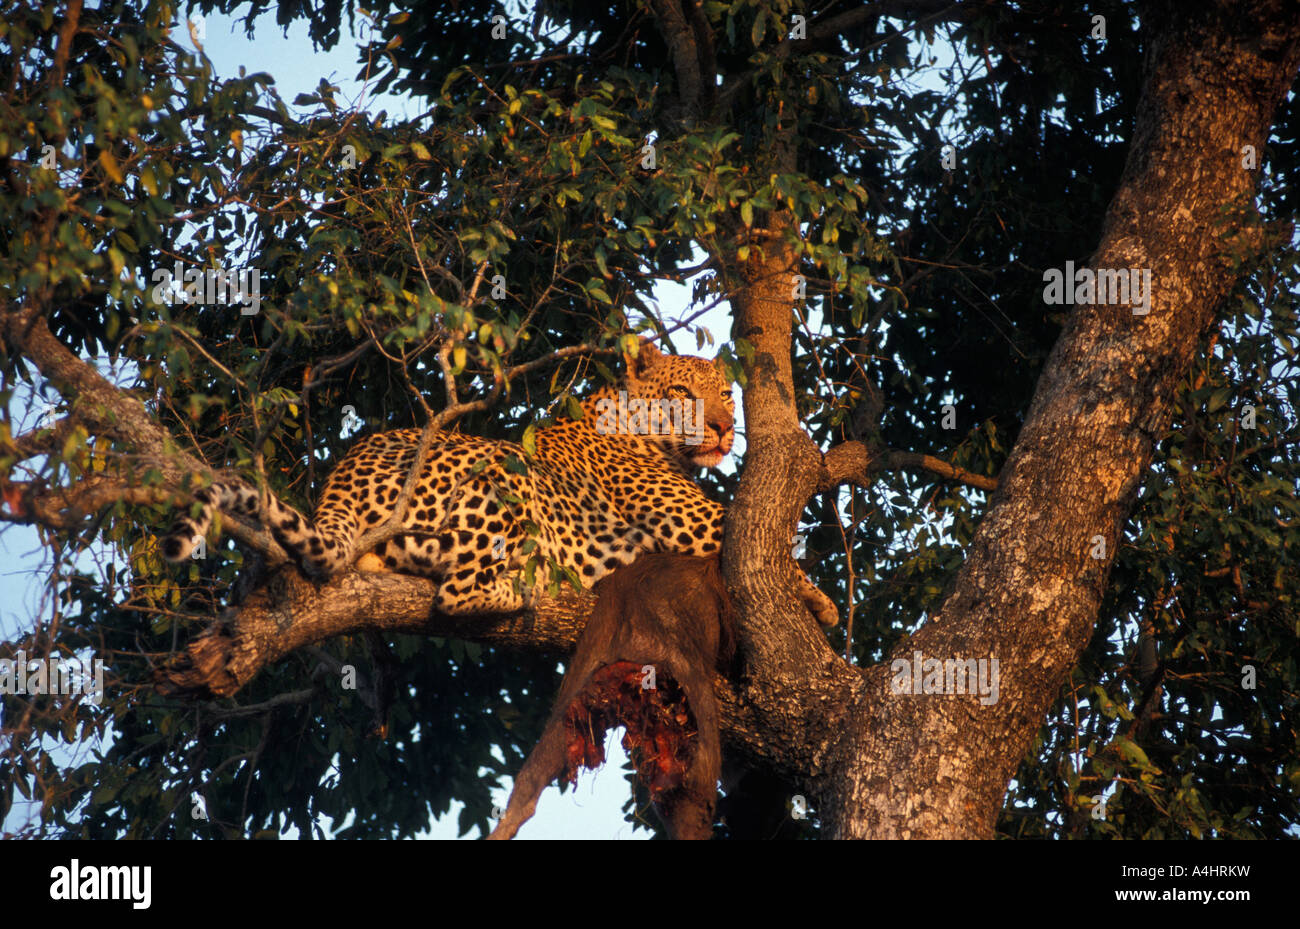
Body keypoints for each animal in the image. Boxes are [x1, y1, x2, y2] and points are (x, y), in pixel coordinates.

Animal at [160, 338, 837, 625]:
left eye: (726, 393)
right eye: (682, 394)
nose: (723, 427)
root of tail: (339, 486)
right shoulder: (693, 521)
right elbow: (778, 550)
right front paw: (822, 603)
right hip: (501, 479)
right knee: (458, 591)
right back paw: (530, 589)